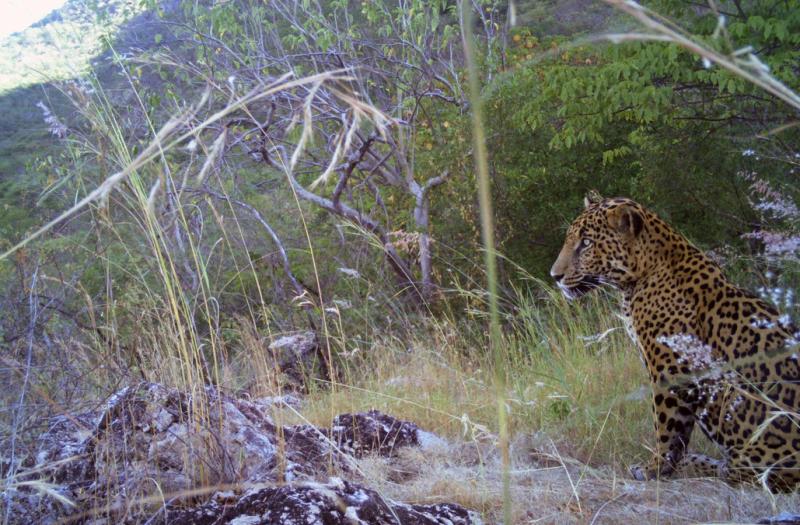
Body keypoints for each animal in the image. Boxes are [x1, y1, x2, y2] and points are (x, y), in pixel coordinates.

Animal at [550, 194, 800, 491]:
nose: (555, 276)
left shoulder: (669, 369)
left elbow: (666, 428)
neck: (641, 276)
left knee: (738, 473)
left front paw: (653, 469)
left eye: (586, 243)